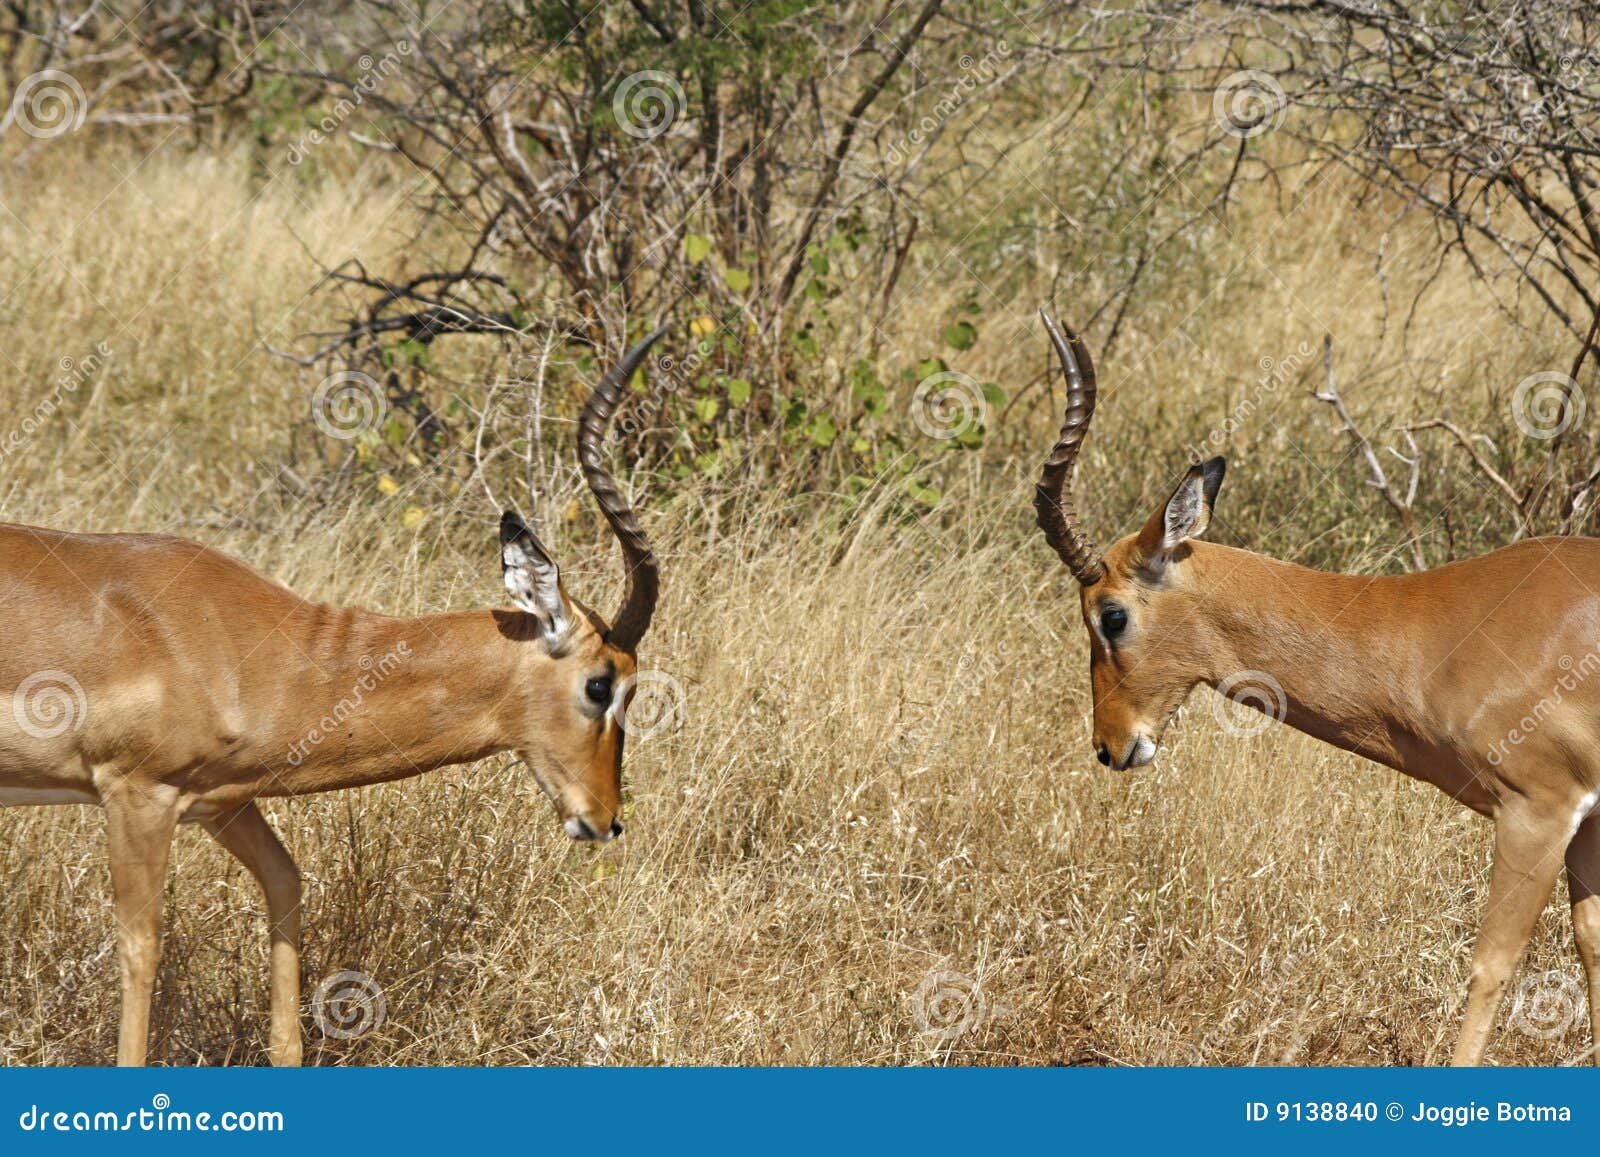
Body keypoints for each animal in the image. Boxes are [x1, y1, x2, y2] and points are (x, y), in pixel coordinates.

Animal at [0, 327, 668, 1067]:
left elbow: (287, 885)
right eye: (601, 683)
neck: (249, 647)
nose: (606, 818)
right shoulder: (137, 794)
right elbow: (141, 949)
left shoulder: (222, 802)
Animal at [1032, 311, 1600, 1066]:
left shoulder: (1538, 810)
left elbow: (1491, 966)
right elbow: (1592, 949)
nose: (1111, 743)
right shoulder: (1588, 822)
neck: (1436, 624)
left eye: (1111, 614)